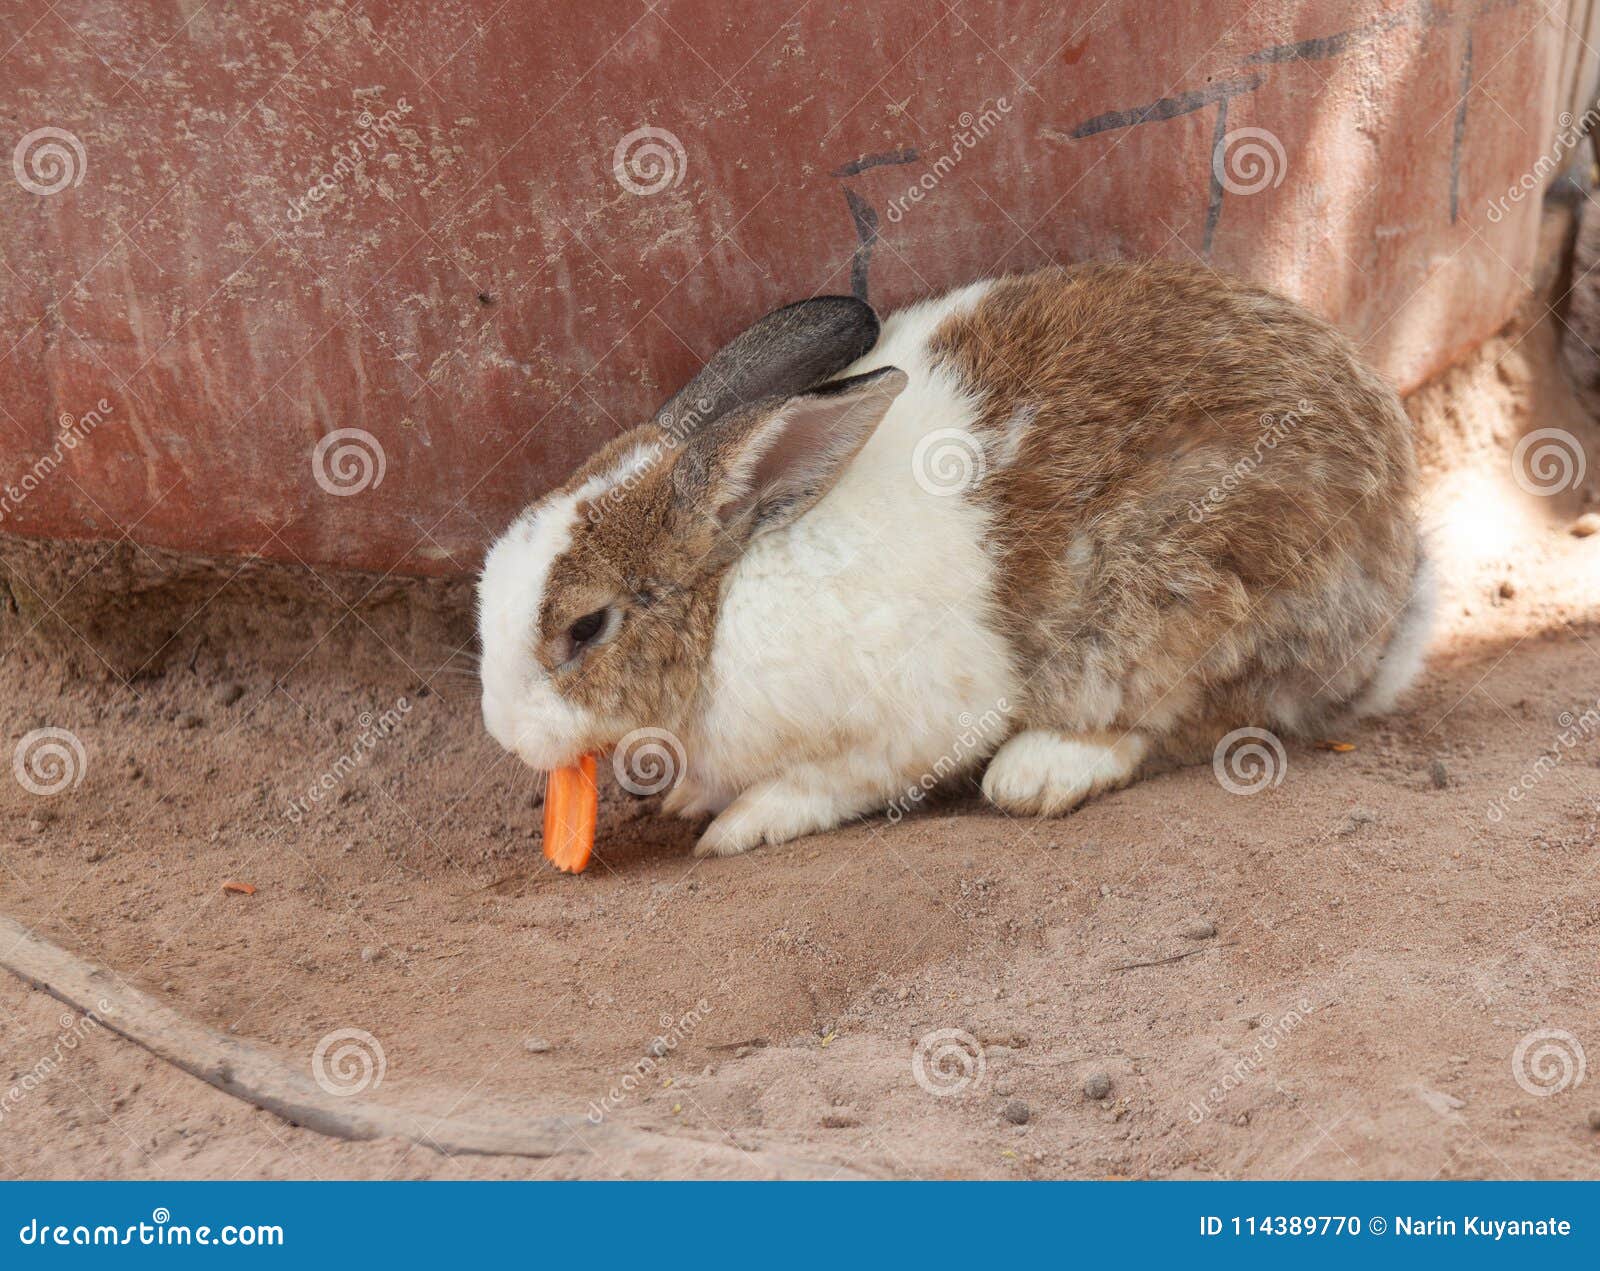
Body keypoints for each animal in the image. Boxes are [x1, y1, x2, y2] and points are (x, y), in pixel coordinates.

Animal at [478, 260, 1432, 857]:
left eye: (586, 627)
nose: (506, 733)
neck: (726, 596)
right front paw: (688, 796)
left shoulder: (903, 729)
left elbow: (821, 787)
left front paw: (738, 825)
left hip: (1191, 597)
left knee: (1185, 717)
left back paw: (1038, 771)